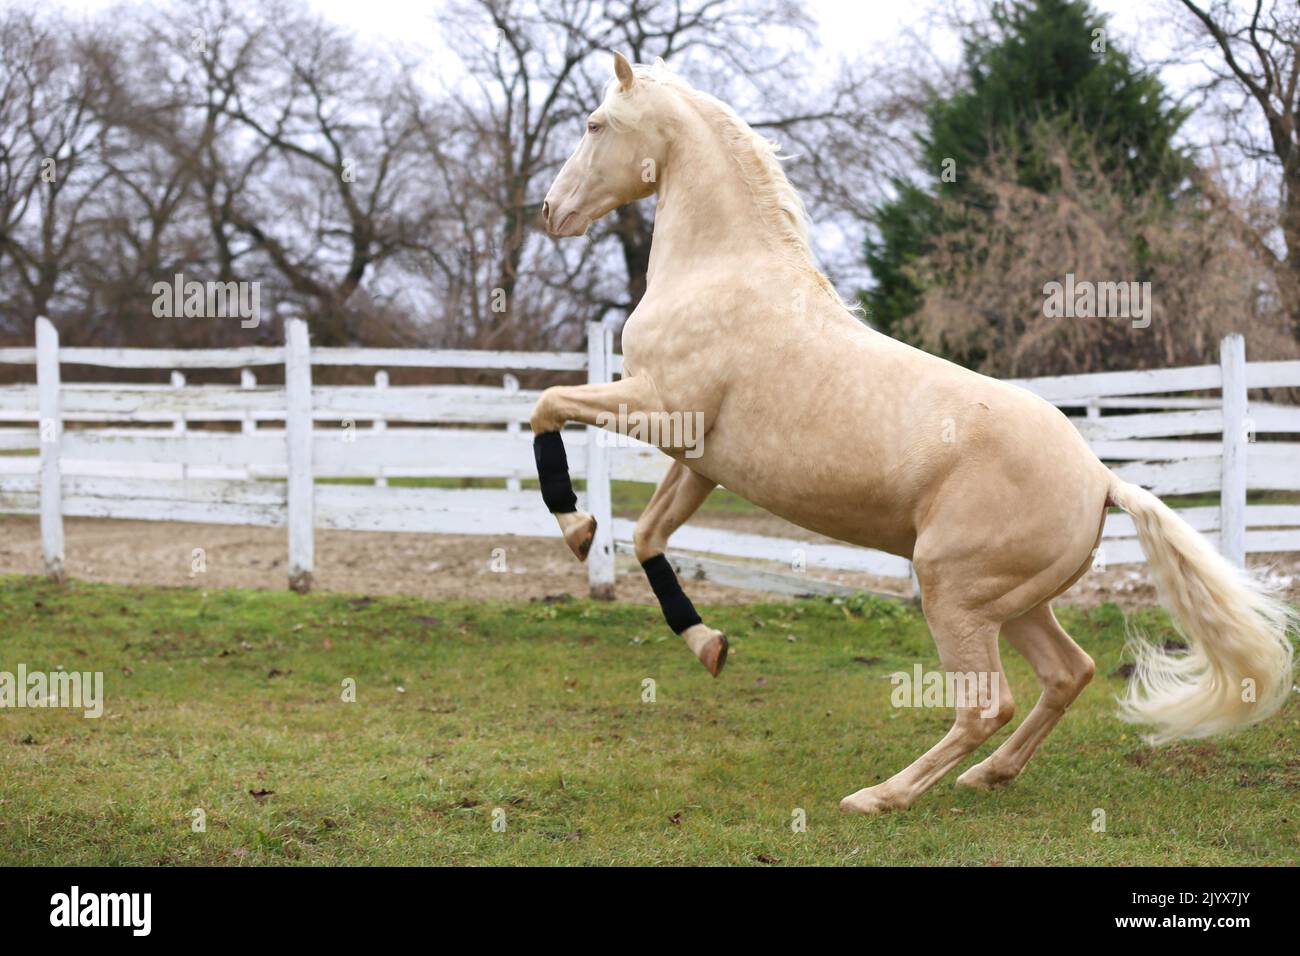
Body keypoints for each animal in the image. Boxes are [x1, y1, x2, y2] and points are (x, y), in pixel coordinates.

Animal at [528, 53, 1295, 814]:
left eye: (595, 124)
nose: (550, 212)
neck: (722, 275)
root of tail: (1103, 481)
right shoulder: (700, 459)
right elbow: (649, 534)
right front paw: (708, 644)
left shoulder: (658, 407)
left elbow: (547, 405)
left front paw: (576, 529)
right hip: (1011, 603)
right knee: (1067, 672)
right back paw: (988, 776)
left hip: (951, 590)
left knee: (988, 704)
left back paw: (881, 795)